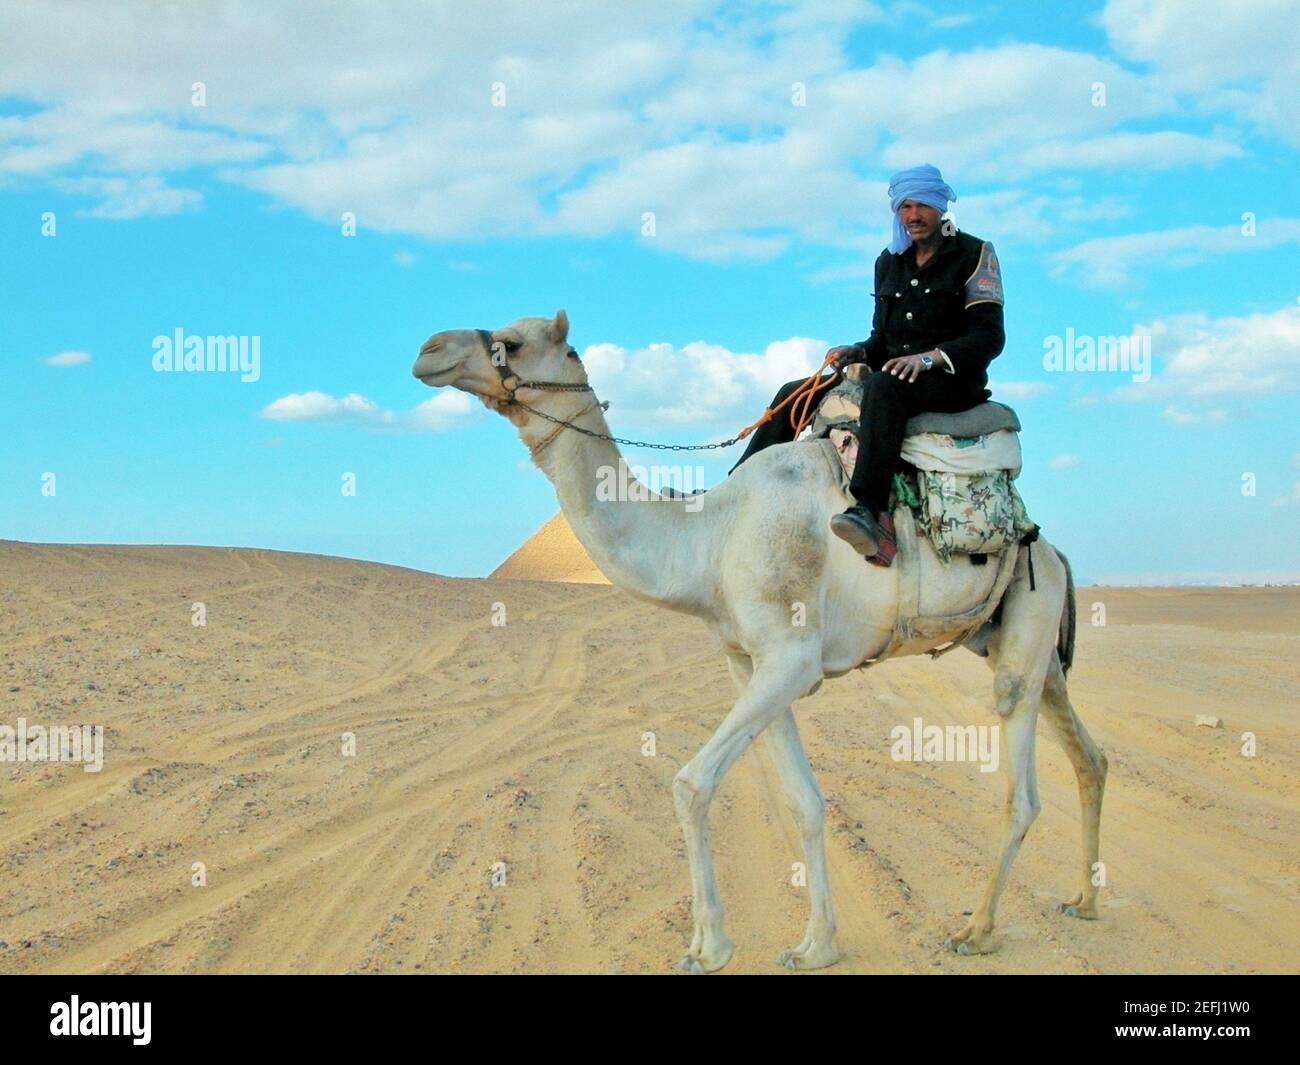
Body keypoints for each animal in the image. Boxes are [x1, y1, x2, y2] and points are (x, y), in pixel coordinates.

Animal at [412, 310, 1108, 973]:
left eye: (513, 341)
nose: (428, 349)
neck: (709, 540)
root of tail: (1052, 548)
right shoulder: (750, 664)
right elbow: (805, 802)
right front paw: (817, 945)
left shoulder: (791, 660)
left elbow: (691, 785)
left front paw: (707, 947)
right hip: (1022, 638)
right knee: (1087, 753)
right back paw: (1084, 899)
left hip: (1027, 621)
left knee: (1022, 788)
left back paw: (977, 930)